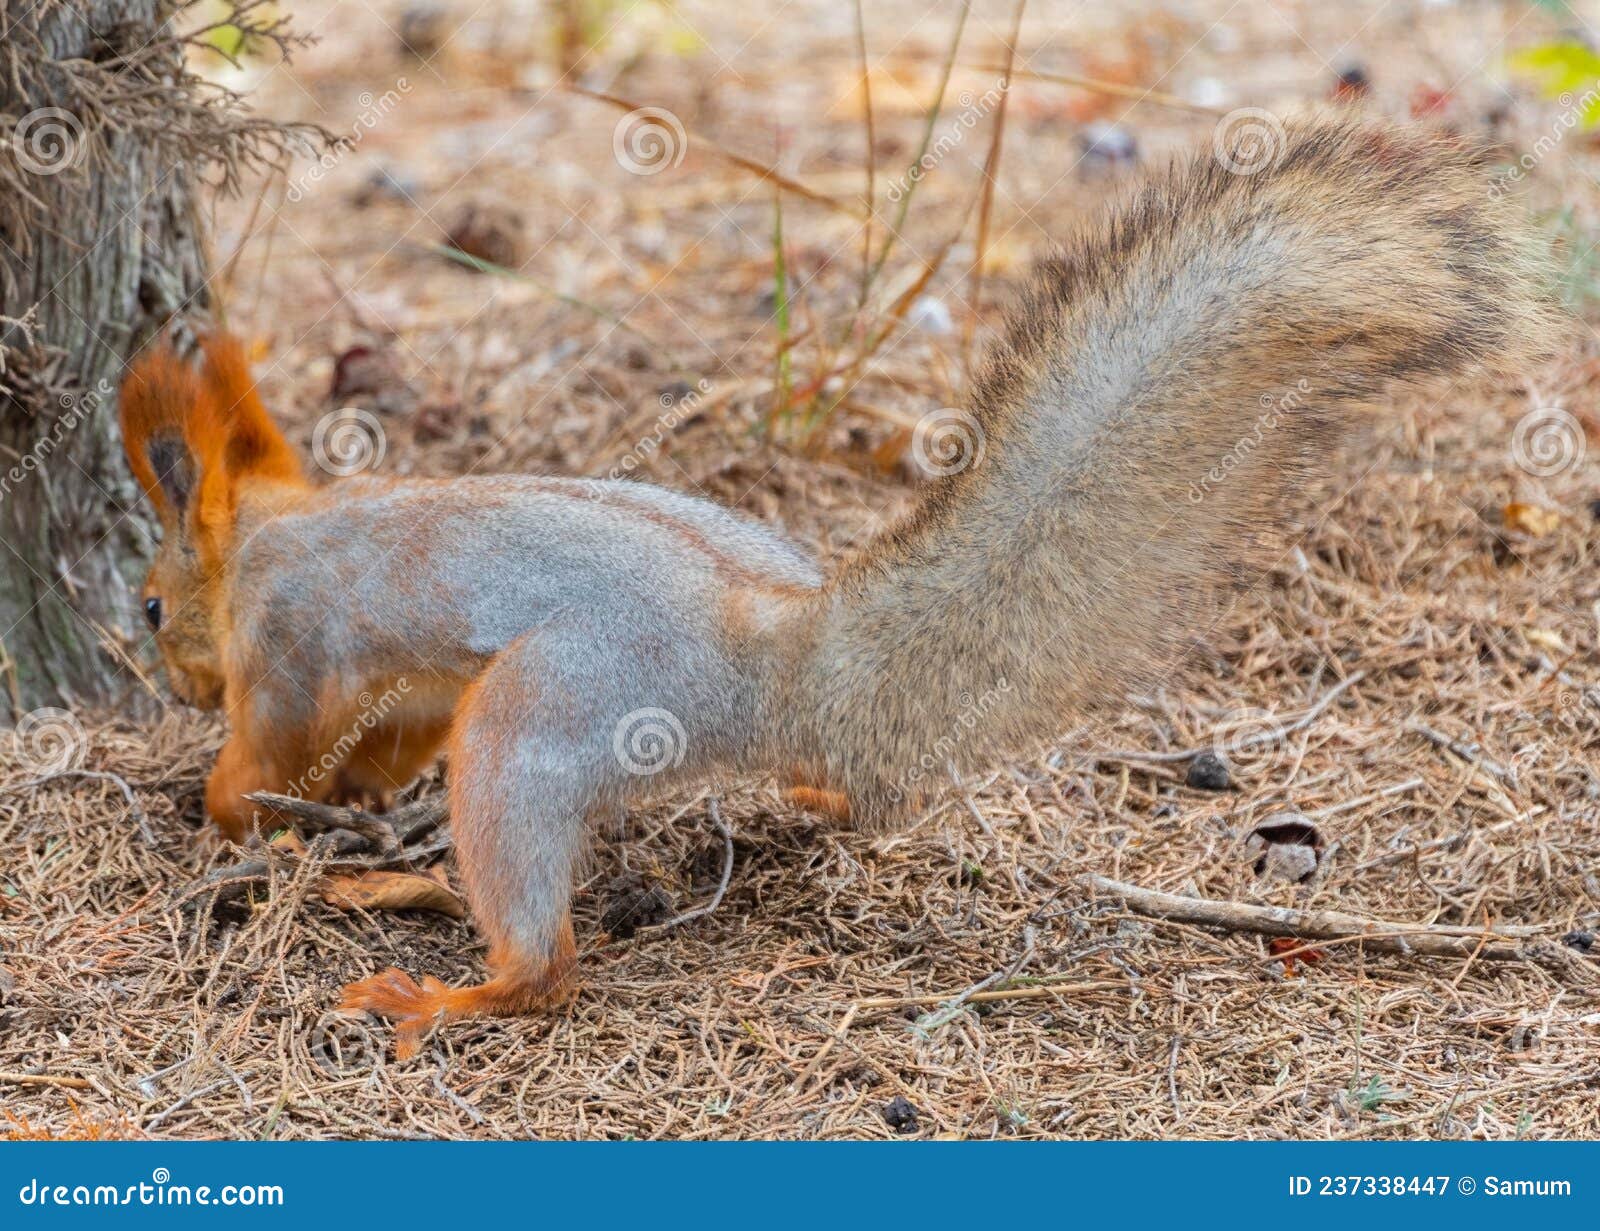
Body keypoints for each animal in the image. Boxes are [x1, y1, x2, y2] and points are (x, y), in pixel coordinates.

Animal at [120, 118, 1549, 1056]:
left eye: (145, 605)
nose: (160, 669)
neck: (273, 534)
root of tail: (782, 651)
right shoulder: (394, 681)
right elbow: (376, 735)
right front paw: (350, 807)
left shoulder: (287, 642)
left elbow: (270, 748)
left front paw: (226, 802)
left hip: (547, 710)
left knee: (545, 959)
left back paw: (450, 987)